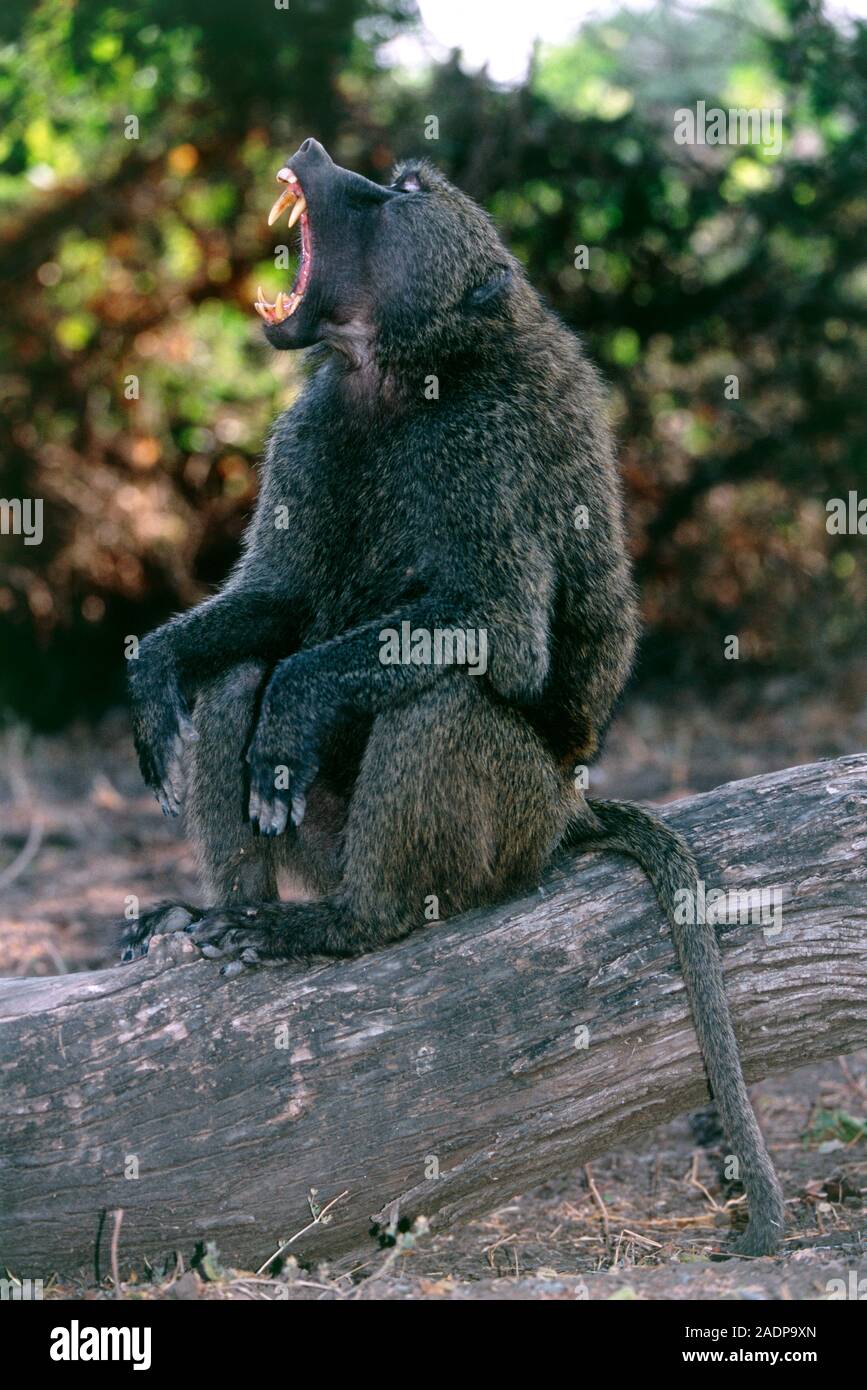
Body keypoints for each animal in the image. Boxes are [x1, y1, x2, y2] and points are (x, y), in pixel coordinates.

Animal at [121, 138, 784, 1256]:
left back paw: (350, 925)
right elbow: (277, 600)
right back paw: (229, 912)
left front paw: (296, 705)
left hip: (506, 829)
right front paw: (156, 667)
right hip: (327, 838)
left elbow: (495, 634)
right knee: (241, 676)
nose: (312, 152)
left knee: (441, 708)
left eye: (402, 196)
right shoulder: (308, 425)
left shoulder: (488, 443)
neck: (404, 369)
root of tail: (566, 808)